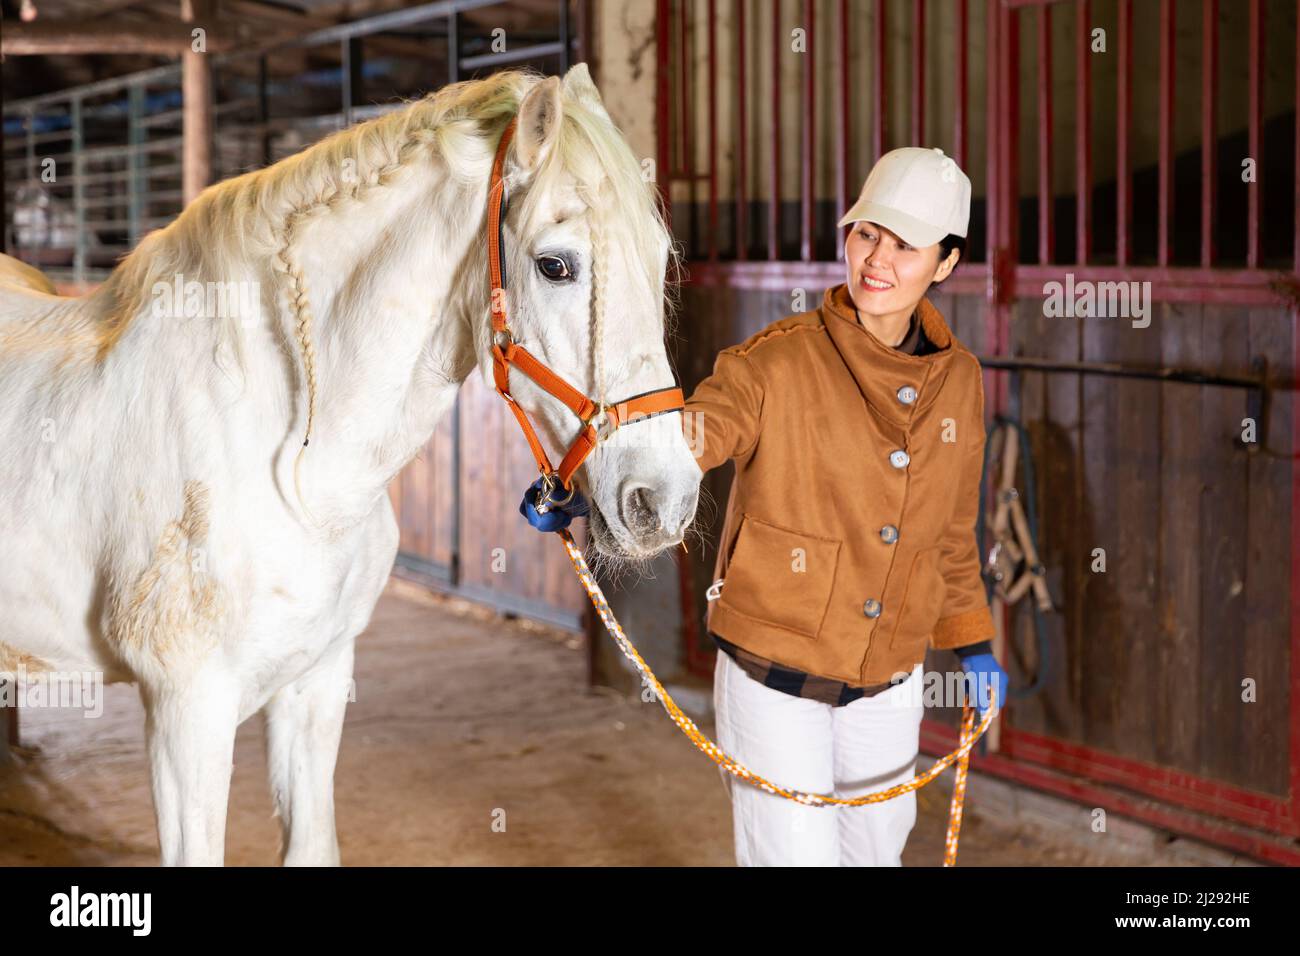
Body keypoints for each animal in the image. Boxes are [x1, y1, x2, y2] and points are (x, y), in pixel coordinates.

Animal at [0, 63, 702, 865]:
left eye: (660, 256)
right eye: (555, 265)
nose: (666, 498)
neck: (290, 470)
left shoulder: (317, 680)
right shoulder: (184, 712)